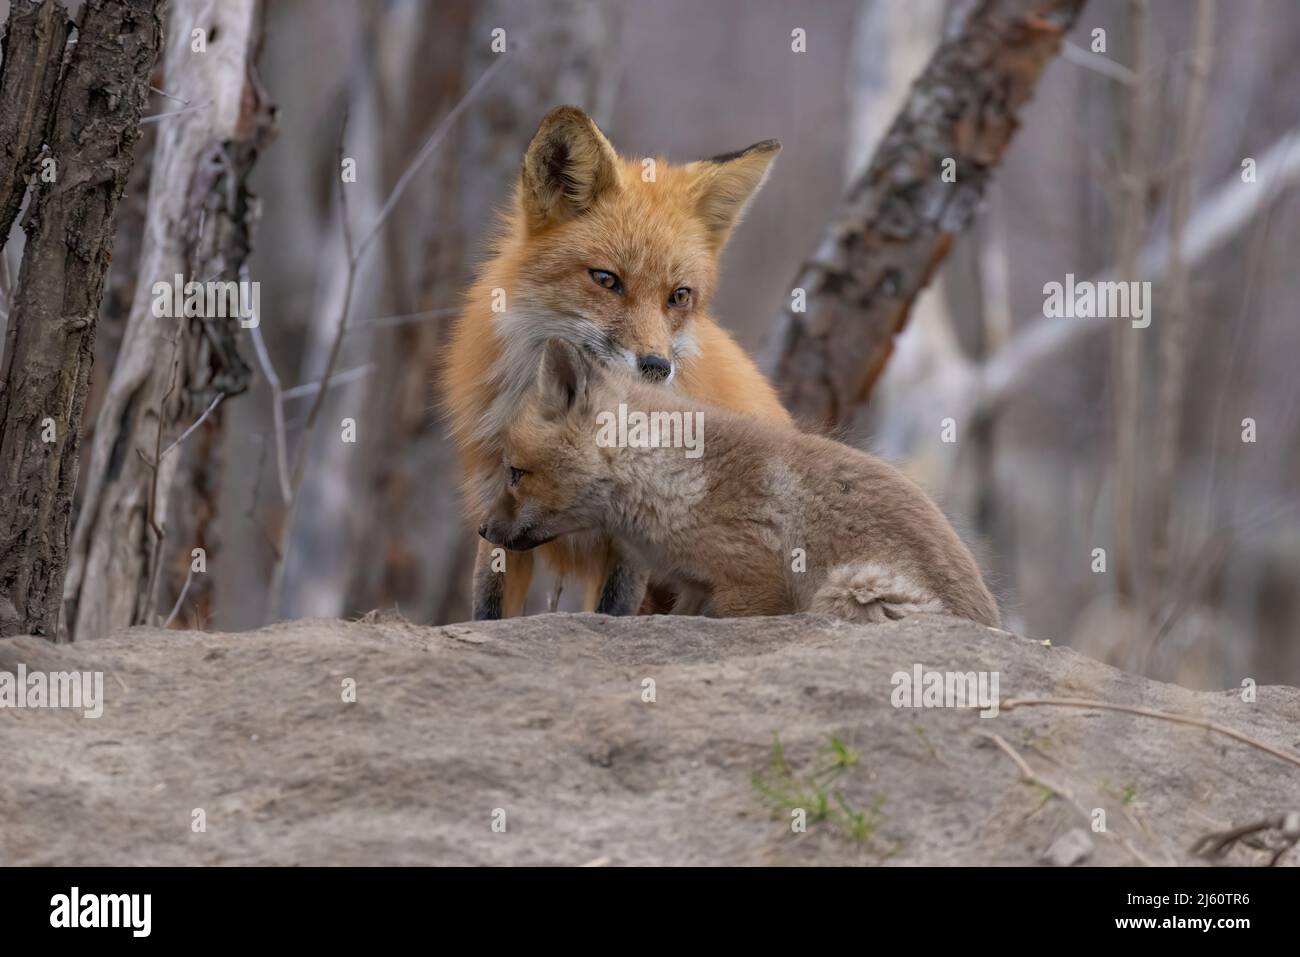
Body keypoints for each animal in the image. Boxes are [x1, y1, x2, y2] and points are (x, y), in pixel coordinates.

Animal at [442, 105, 794, 619]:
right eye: (606, 279)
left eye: (679, 296)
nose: (657, 367)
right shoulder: (497, 505)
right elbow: (489, 611)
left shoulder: (632, 537)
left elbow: (612, 612)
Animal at [479, 338, 1002, 627]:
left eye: (515, 473)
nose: (483, 529)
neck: (675, 480)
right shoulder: (695, 588)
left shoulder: (751, 588)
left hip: (850, 589)